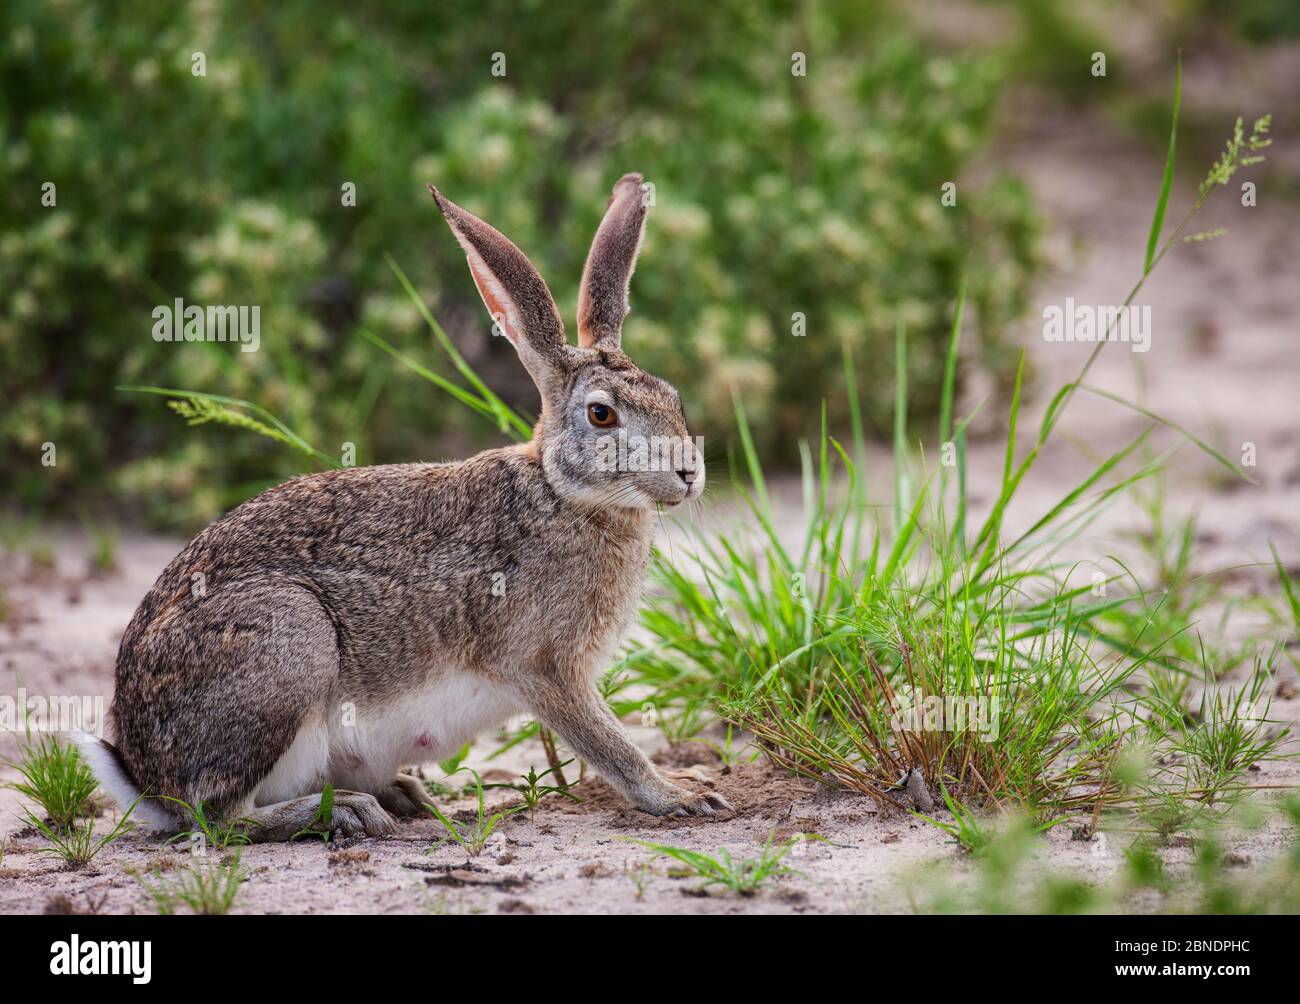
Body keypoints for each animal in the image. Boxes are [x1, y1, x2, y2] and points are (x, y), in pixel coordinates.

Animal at [74, 173, 728, 841]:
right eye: (601, 415)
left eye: (672, 397)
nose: (689, 471)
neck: (561, 490)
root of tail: (144, 776)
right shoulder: (544, 667)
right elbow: (608, 743)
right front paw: (681, 795)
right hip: (287, 641)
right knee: (218, 816)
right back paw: (345, 811)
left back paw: (401, 795)